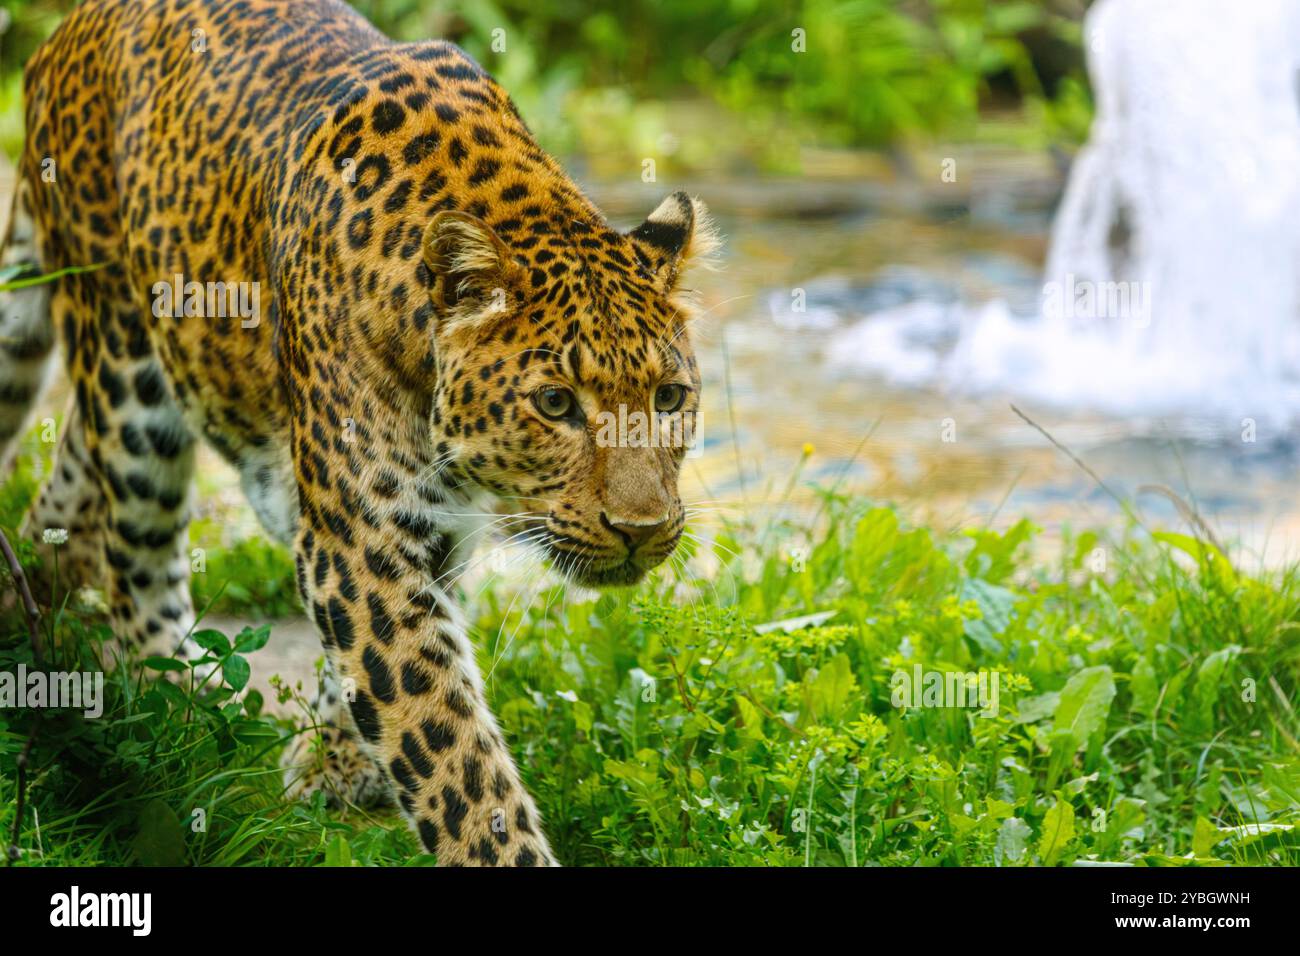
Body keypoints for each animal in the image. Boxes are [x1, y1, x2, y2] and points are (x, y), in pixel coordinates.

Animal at [0, 0, 717, 866]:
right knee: (135, 542)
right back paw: (174, 696)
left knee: (70, 487)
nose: (641, 530)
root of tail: (67, 30)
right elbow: (452, 752)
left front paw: (337, 754)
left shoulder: (433, 527)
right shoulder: (362, 539)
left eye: (670, 396)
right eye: (555, 404)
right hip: (124, 362)